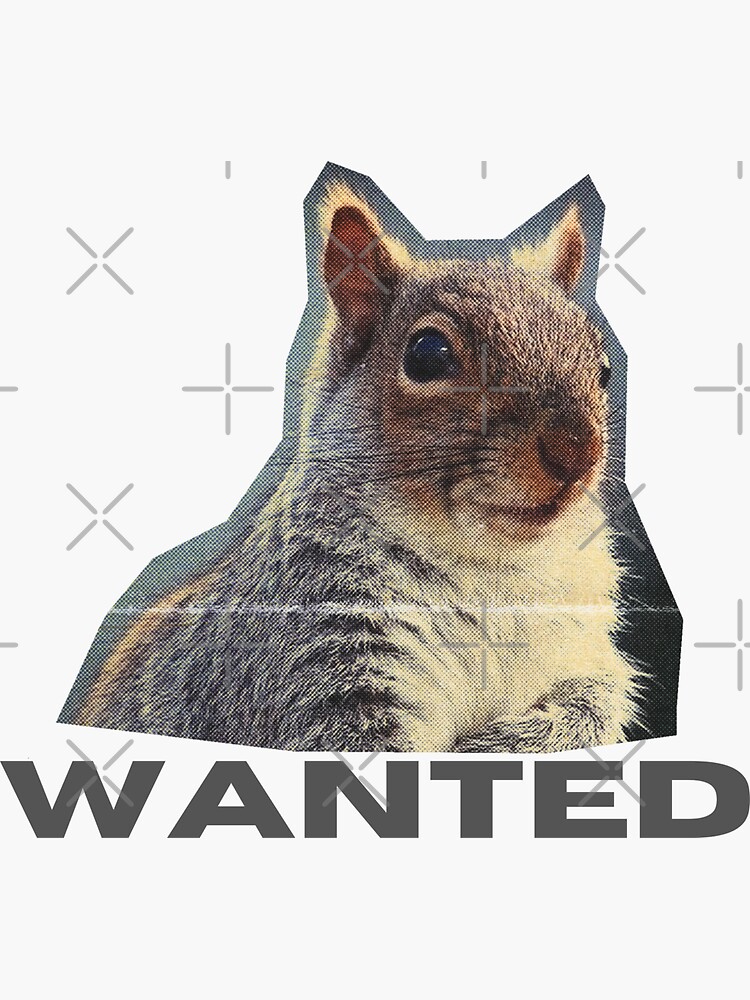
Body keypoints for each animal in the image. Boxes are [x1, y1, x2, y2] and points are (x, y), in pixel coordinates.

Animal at [66, 176, 640, 753]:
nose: (577, 452)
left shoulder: (583, 653)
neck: (492, 566)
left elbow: (593, 703)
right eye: (428, 354)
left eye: (605, 370)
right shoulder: (308, 661)